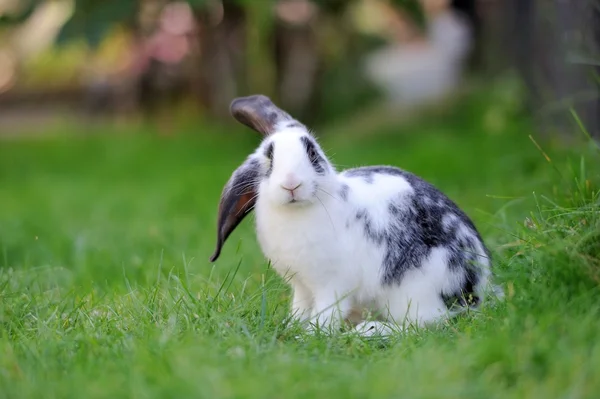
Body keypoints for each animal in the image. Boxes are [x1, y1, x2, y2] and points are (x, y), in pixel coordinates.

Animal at [211, 94, 502, 338]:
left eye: (312, 153)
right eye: (269, 159)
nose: (291, 183)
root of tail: (479, 291)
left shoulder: (333, 286)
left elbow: (326, 314)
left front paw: (308, 336)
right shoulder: (302, 287)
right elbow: (299, 310)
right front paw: (290, 327)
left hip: (415, 290)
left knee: (425, 324)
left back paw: (369, 330)